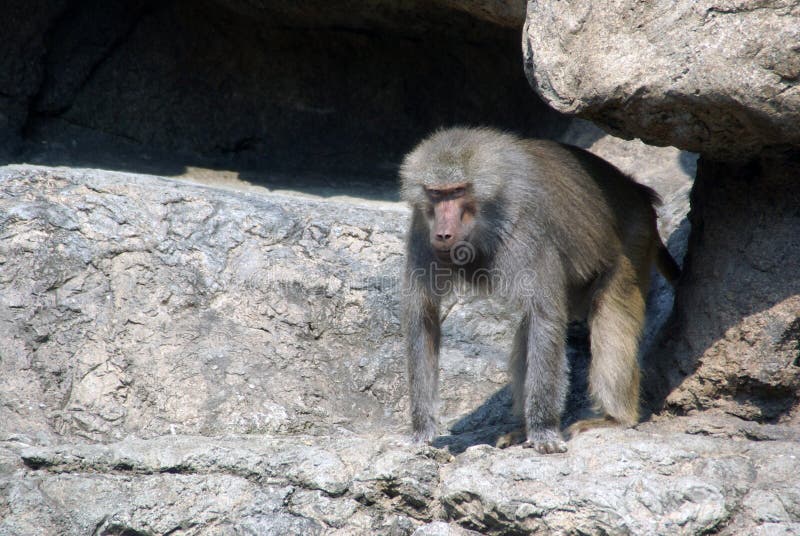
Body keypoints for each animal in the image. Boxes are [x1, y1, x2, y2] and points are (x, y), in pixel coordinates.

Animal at [399, 127, 680, 454]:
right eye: (435, 194)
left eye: (457, 191)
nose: (443, 234)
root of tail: (636, 189)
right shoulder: (422, 230)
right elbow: (423, 318)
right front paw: (422, 432)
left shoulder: (527, 229)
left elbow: (544, 318)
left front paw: (544, 432)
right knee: (528, 333)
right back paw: (523, 429)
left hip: (634, 240)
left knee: (610, 317)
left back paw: (615, 419)